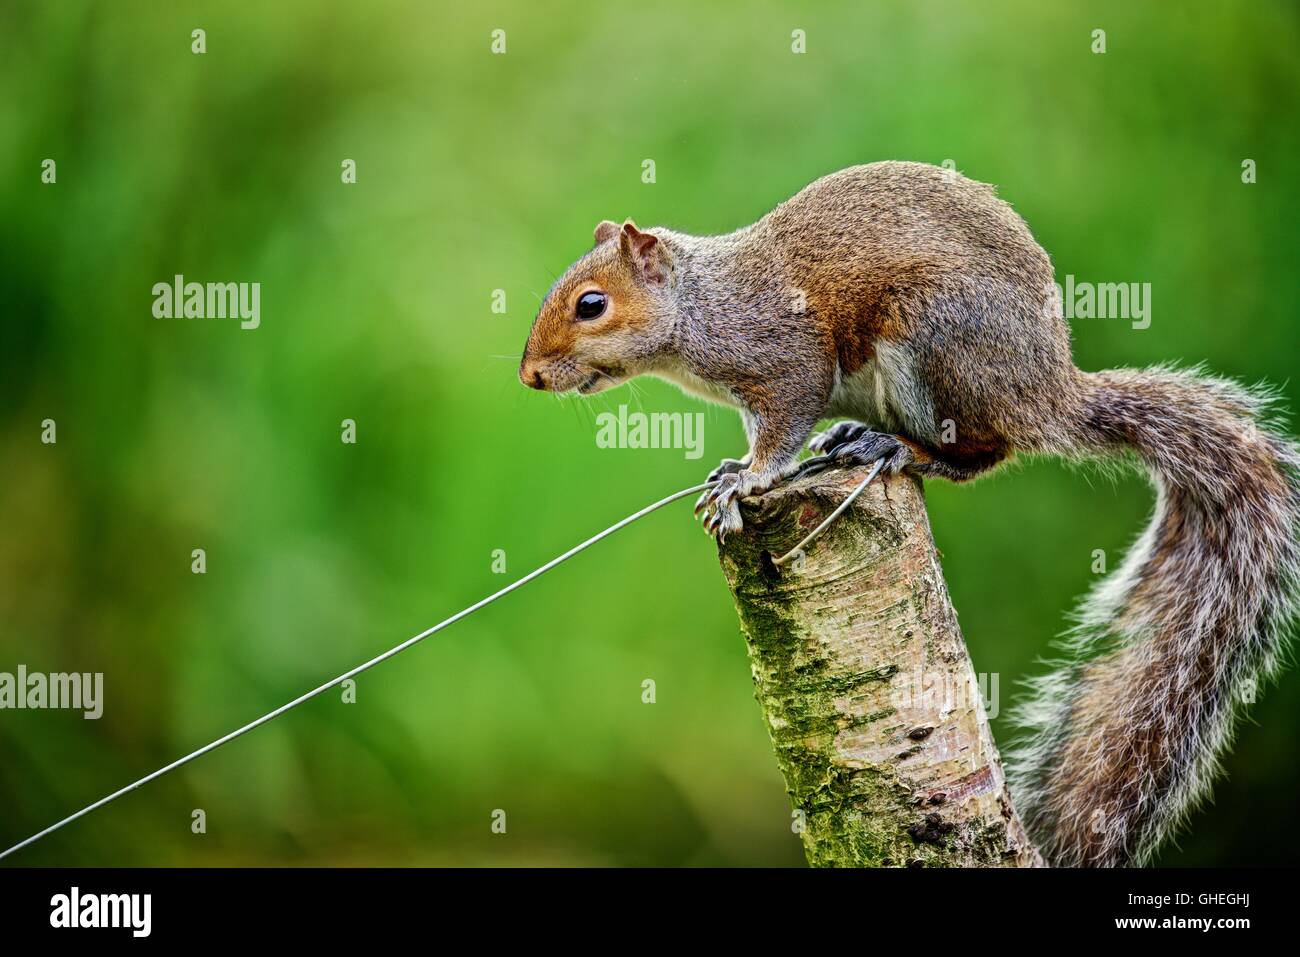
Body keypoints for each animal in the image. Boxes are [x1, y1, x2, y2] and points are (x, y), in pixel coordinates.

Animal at [518, 161, 1300, 867]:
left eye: (591, 305)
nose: (529, 376)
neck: (700, 307)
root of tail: (1048, 392)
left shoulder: (785, 359)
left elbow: (783, 426)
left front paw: (747, 481)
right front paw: (731, 471)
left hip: (933, 347)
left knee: (985, 452)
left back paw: (894, 447)